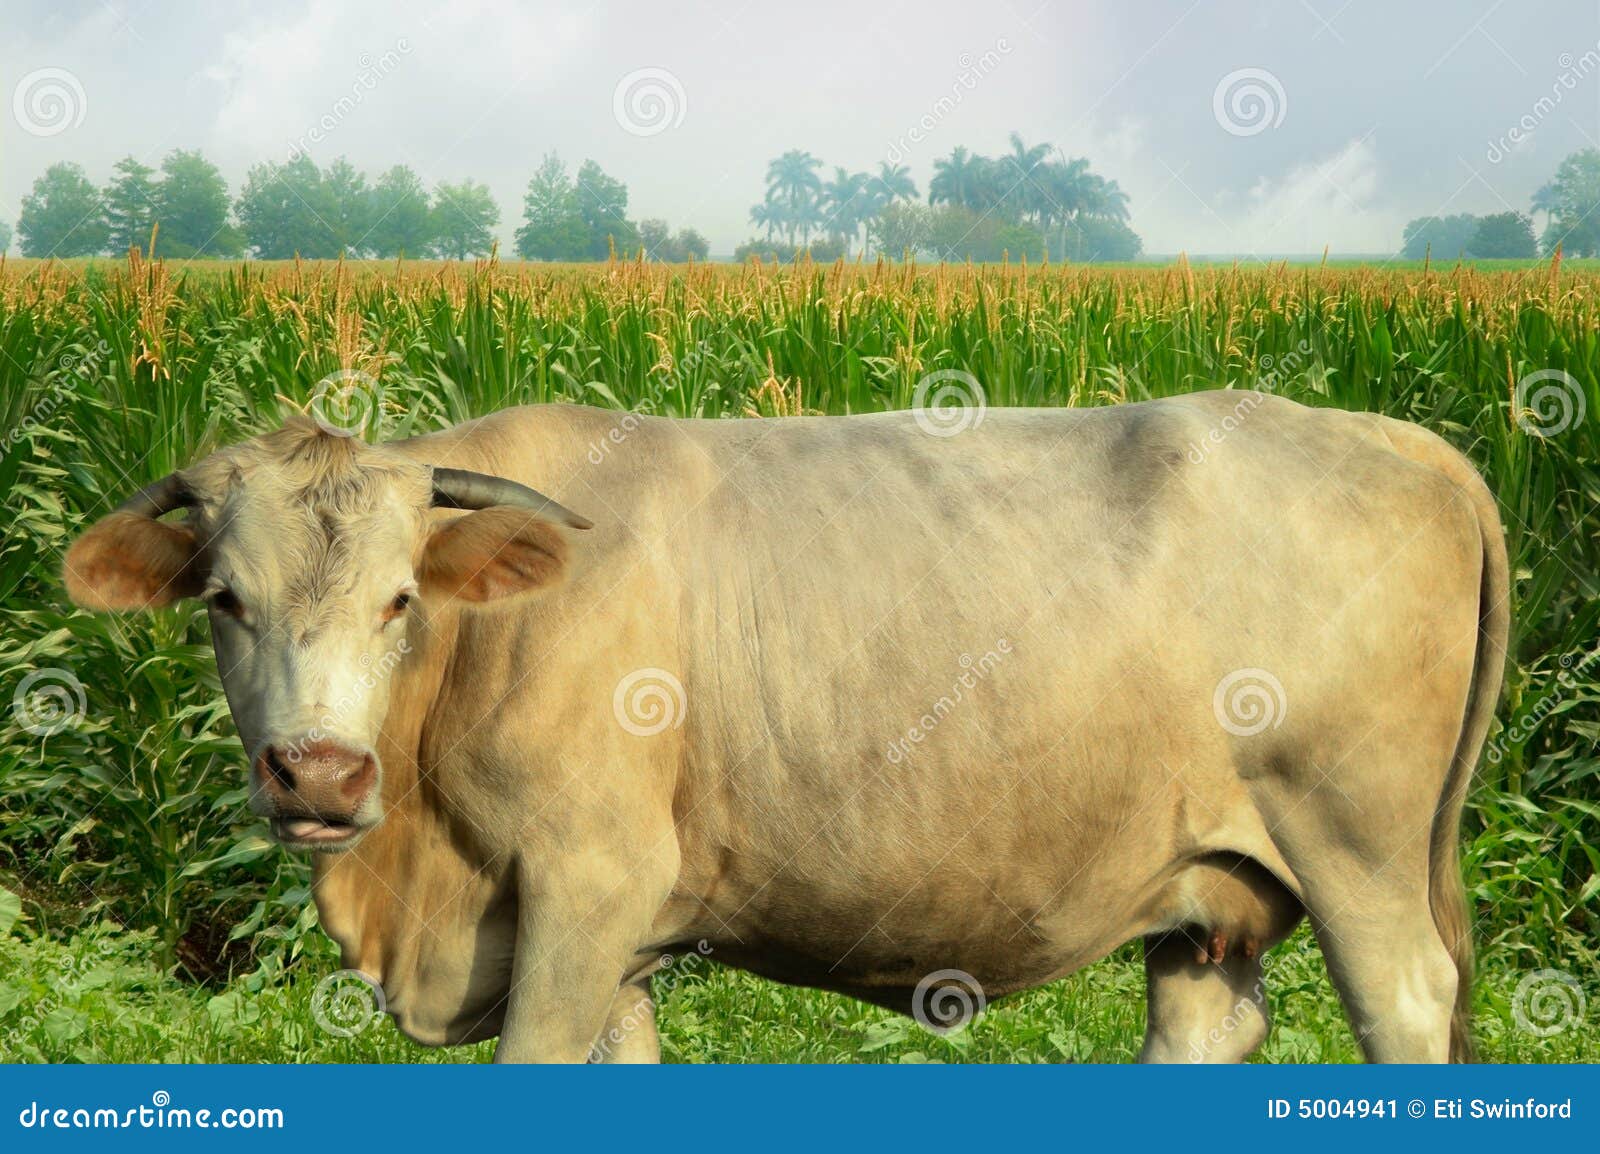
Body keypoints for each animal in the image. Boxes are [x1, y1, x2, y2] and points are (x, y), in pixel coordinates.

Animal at [63, 390, 1507, 1063]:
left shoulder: (585, 880)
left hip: (1359, 845)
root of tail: (1406, 441)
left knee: (1406, 1005)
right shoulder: (615, 933)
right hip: (1209, 892)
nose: (316, 769)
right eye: (227, 599)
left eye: (399, 598)